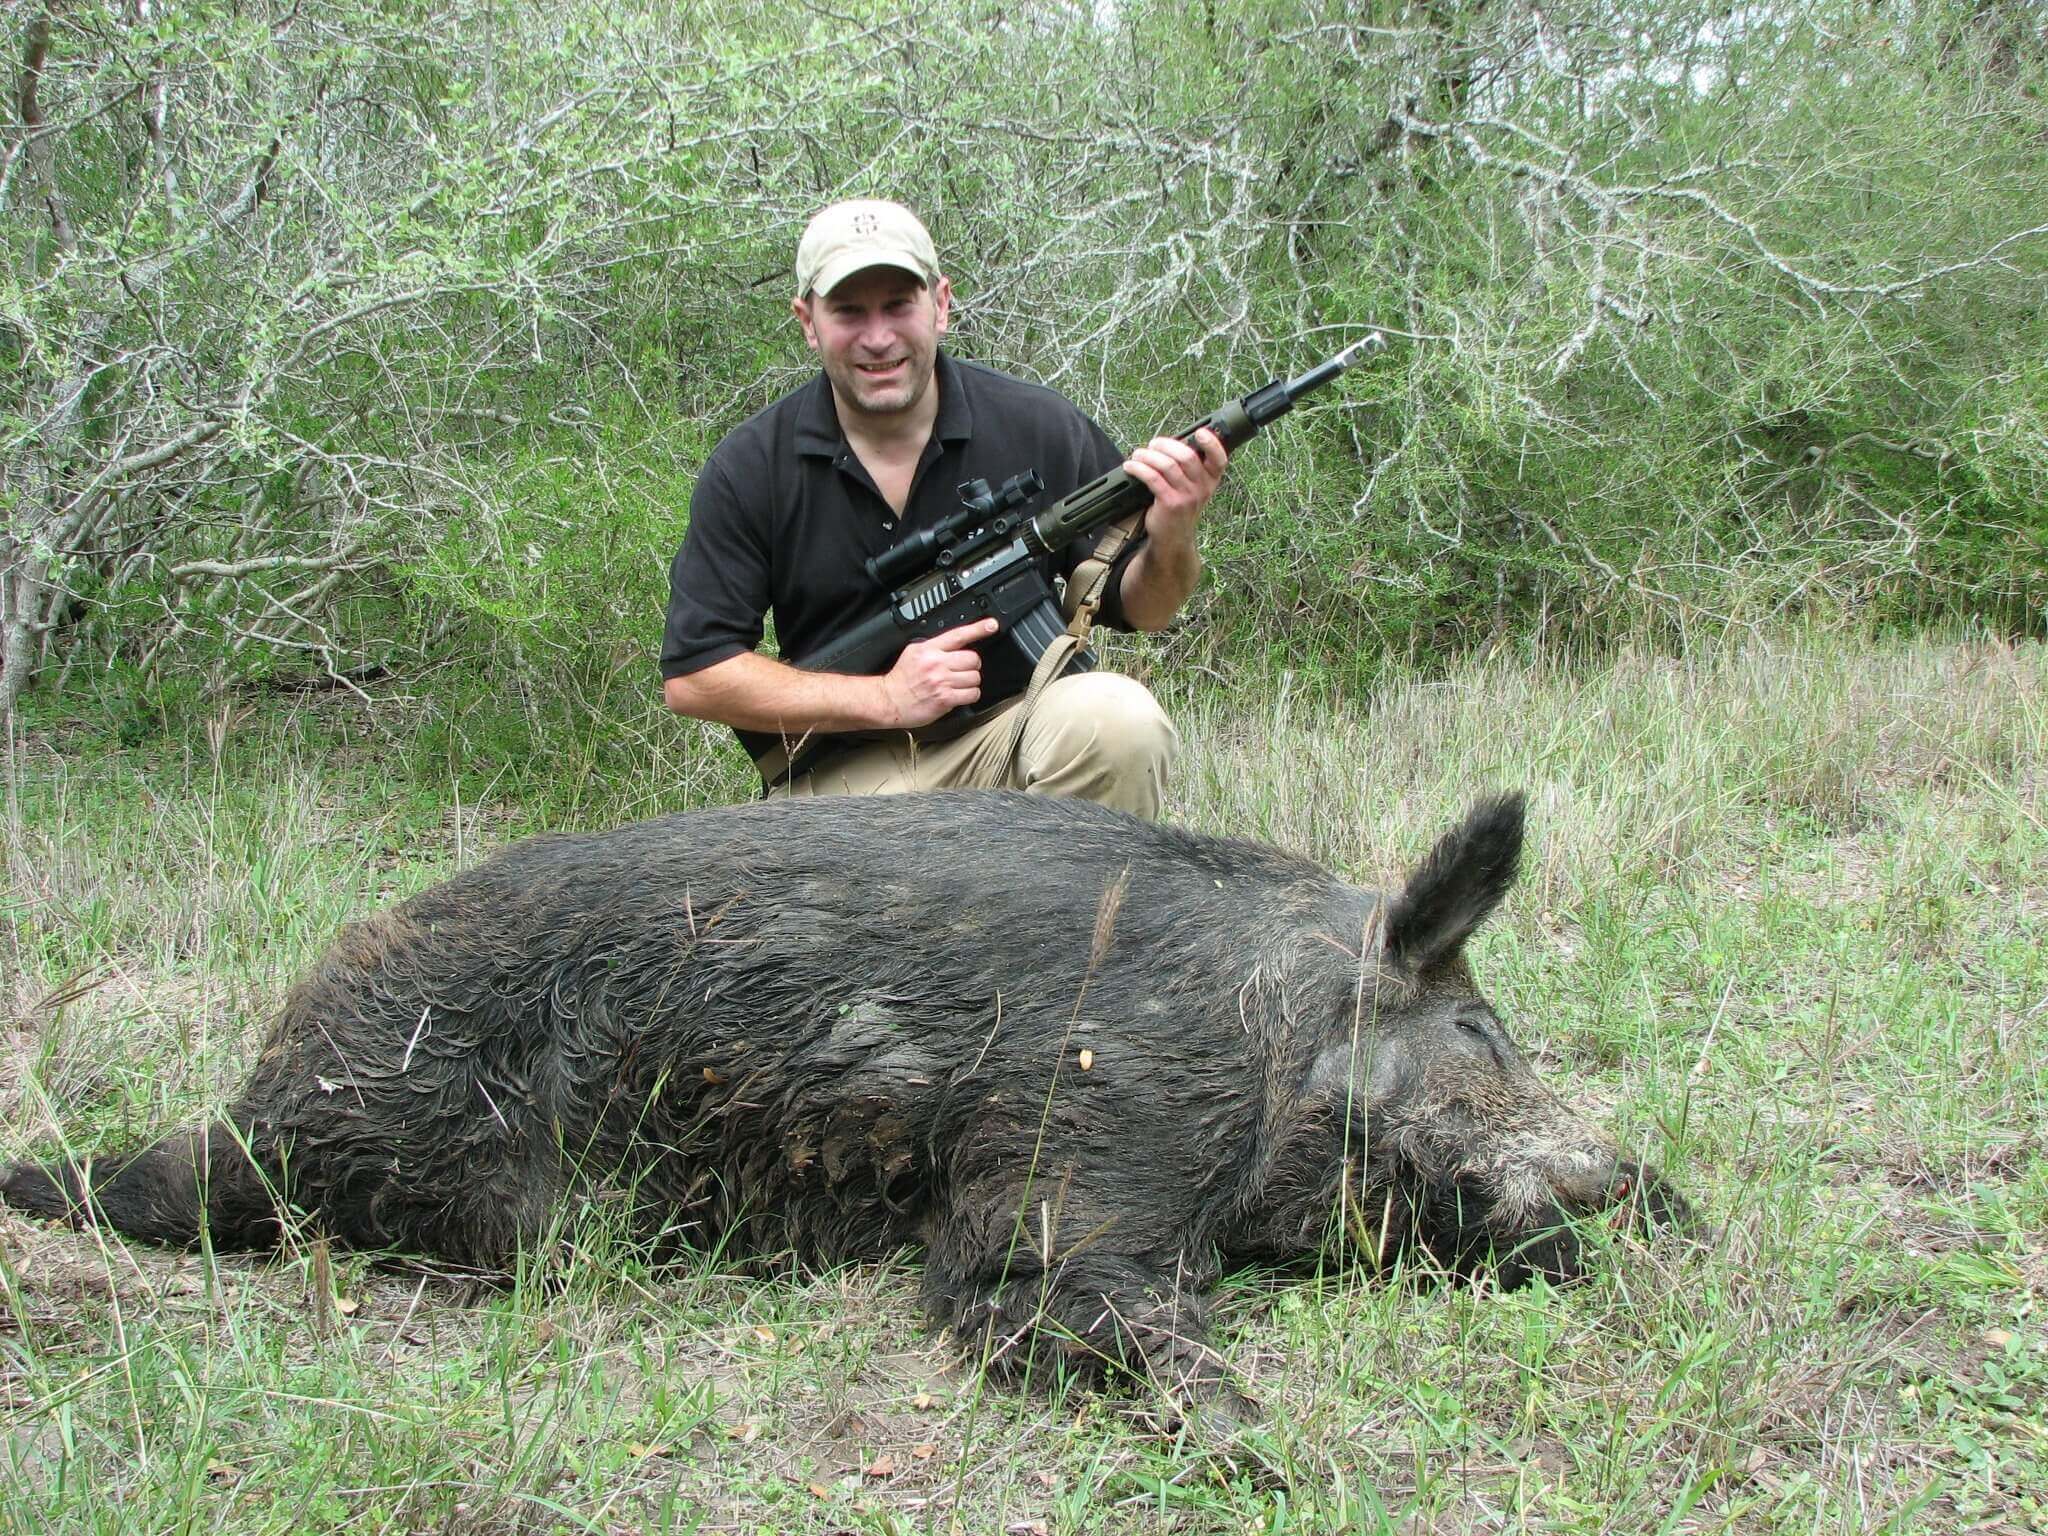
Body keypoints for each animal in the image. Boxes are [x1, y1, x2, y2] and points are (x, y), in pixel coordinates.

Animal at [3, 789, 1690, 1417]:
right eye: (1479, 1022)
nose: (1654, 1189)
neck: (1256, 1034)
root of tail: (250, 1103)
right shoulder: (1072, 1155)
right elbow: (1047, 1296)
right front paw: (1252, 1442)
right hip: (485, 1188)